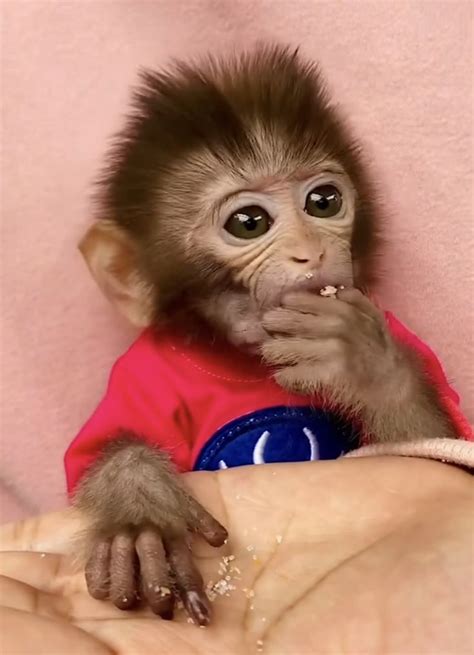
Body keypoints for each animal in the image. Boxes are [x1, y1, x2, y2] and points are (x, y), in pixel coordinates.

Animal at [65, 44, 472, 627]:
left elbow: (433, 446)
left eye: (324, 201)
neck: (244, 363)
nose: (312, 251)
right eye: (249, 222)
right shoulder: (139, 374)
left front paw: (362, 363)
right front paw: (137, 505)